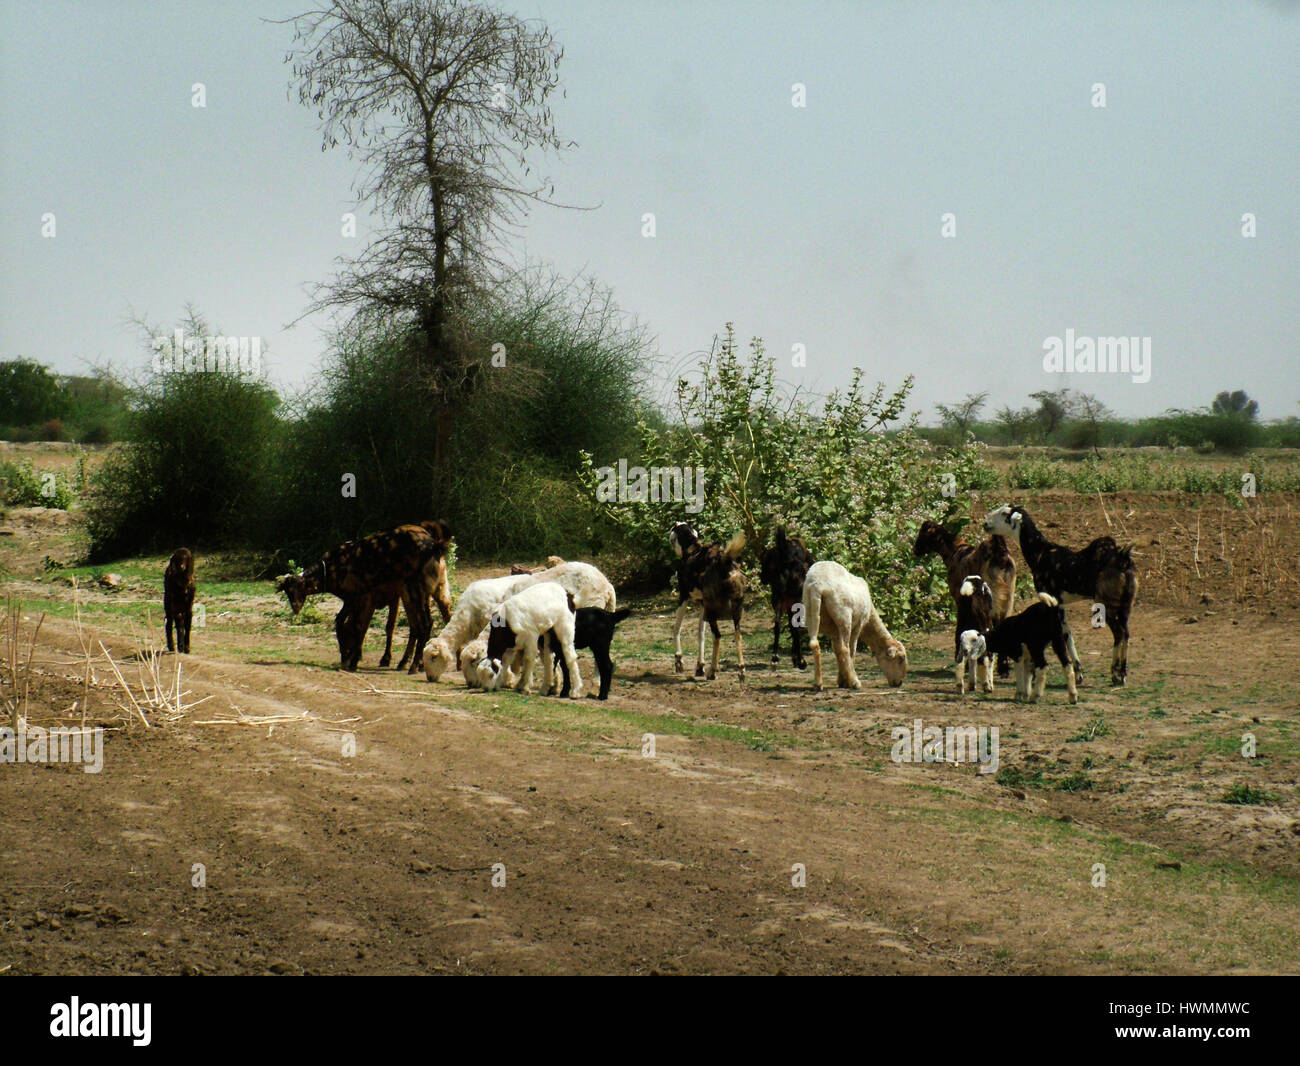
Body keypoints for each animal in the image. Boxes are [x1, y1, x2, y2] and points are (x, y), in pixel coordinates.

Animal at [669, 522, 746, 681]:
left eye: (675, 528)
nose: (674, 523)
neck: (693, 550)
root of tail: (724, 564)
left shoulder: (683, 598)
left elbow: (676, 629)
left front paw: (679, 660)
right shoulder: (702, 606)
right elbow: (701, 635)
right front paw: (700, 666)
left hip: (713, 613)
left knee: (717, 636)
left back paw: (712, 672)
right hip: (735, 612)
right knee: (737, 636)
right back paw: (741, 670)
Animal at [759, 527, 814, 668]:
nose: (762, 577)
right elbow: (795, 627)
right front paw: (798, 659)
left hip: (778, 598)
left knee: (778, 624)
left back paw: (775, 657)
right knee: (794, 626)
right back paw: (799, 660)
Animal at [802, 560, 907, 689]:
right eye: (901, 658)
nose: (899, 683)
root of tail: (817, 584)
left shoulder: (834, 631)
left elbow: (837, 651)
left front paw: (842, 679)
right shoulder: (859, 624)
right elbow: (851, 650)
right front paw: (847, 681)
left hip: (811, 611)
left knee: (815, 644)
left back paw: (818, 684)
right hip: (844, 615)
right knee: (845, 648)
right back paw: (855, 682)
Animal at [913, 519, 1015, 677]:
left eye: (922, 534)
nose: (915, 550)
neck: (955, 550)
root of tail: (1000, 552)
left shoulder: (961, 600)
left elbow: (961, 628)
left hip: (990, 602)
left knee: (986, 629)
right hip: (1006, 600)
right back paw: (1003, 668)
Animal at [984, 504, 1138, 685]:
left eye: (1004, 513)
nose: (986, 523)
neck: (1041, 552)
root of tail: (1123, 560)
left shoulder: (1050, 598)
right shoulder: (1060, 603)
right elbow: (1067, 634)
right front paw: (1078, 674)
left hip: (1107, 604)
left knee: (1119, 633)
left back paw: (1115, 674)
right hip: (1126, 606)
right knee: (1126, 633)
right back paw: (1123, 674)